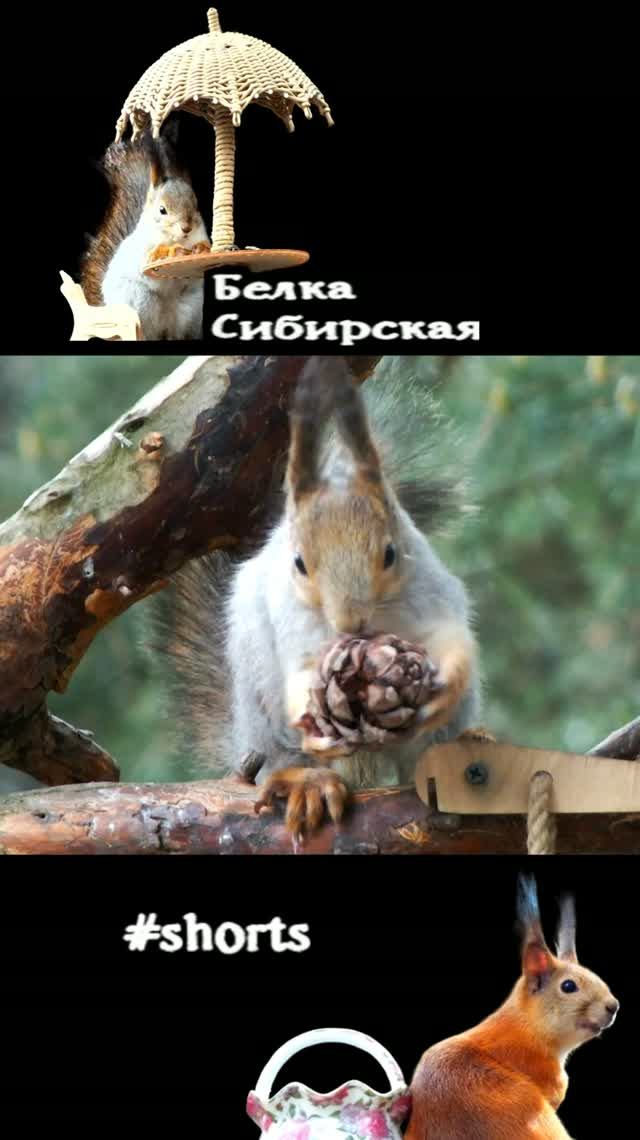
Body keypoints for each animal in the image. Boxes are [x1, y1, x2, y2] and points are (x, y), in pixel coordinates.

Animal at [81, 128, 209, 340]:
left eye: (196, 206)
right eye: (162, 210)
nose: (186, 228)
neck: (177, 239)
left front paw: (200, 249)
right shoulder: (141, 252)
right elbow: (150, 260)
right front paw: (173, 252)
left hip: (189, 310)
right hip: (139, 304)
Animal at [160, 357, 481, 835]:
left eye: (389, 553)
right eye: (299, 563)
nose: (350, 622)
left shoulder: (431, 589)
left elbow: (452, 638)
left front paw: (444, 687)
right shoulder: (292, 620)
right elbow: (302, 667)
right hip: (266, 715)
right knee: (288, 758)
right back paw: (310, 782)